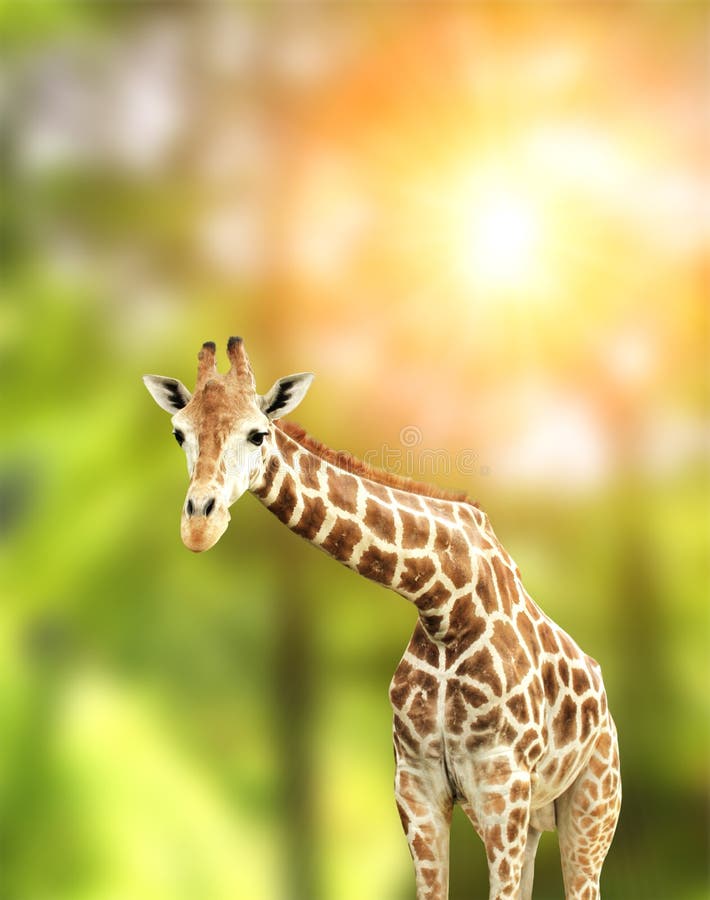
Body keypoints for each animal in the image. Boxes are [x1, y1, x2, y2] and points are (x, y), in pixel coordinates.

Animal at [143, 338, 621, 900]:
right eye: (179, 433)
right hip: (529, 822)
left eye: (258, 433)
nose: (199, 525)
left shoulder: (502, 784)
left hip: (591, 805)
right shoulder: (416, 785)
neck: (445, 605)